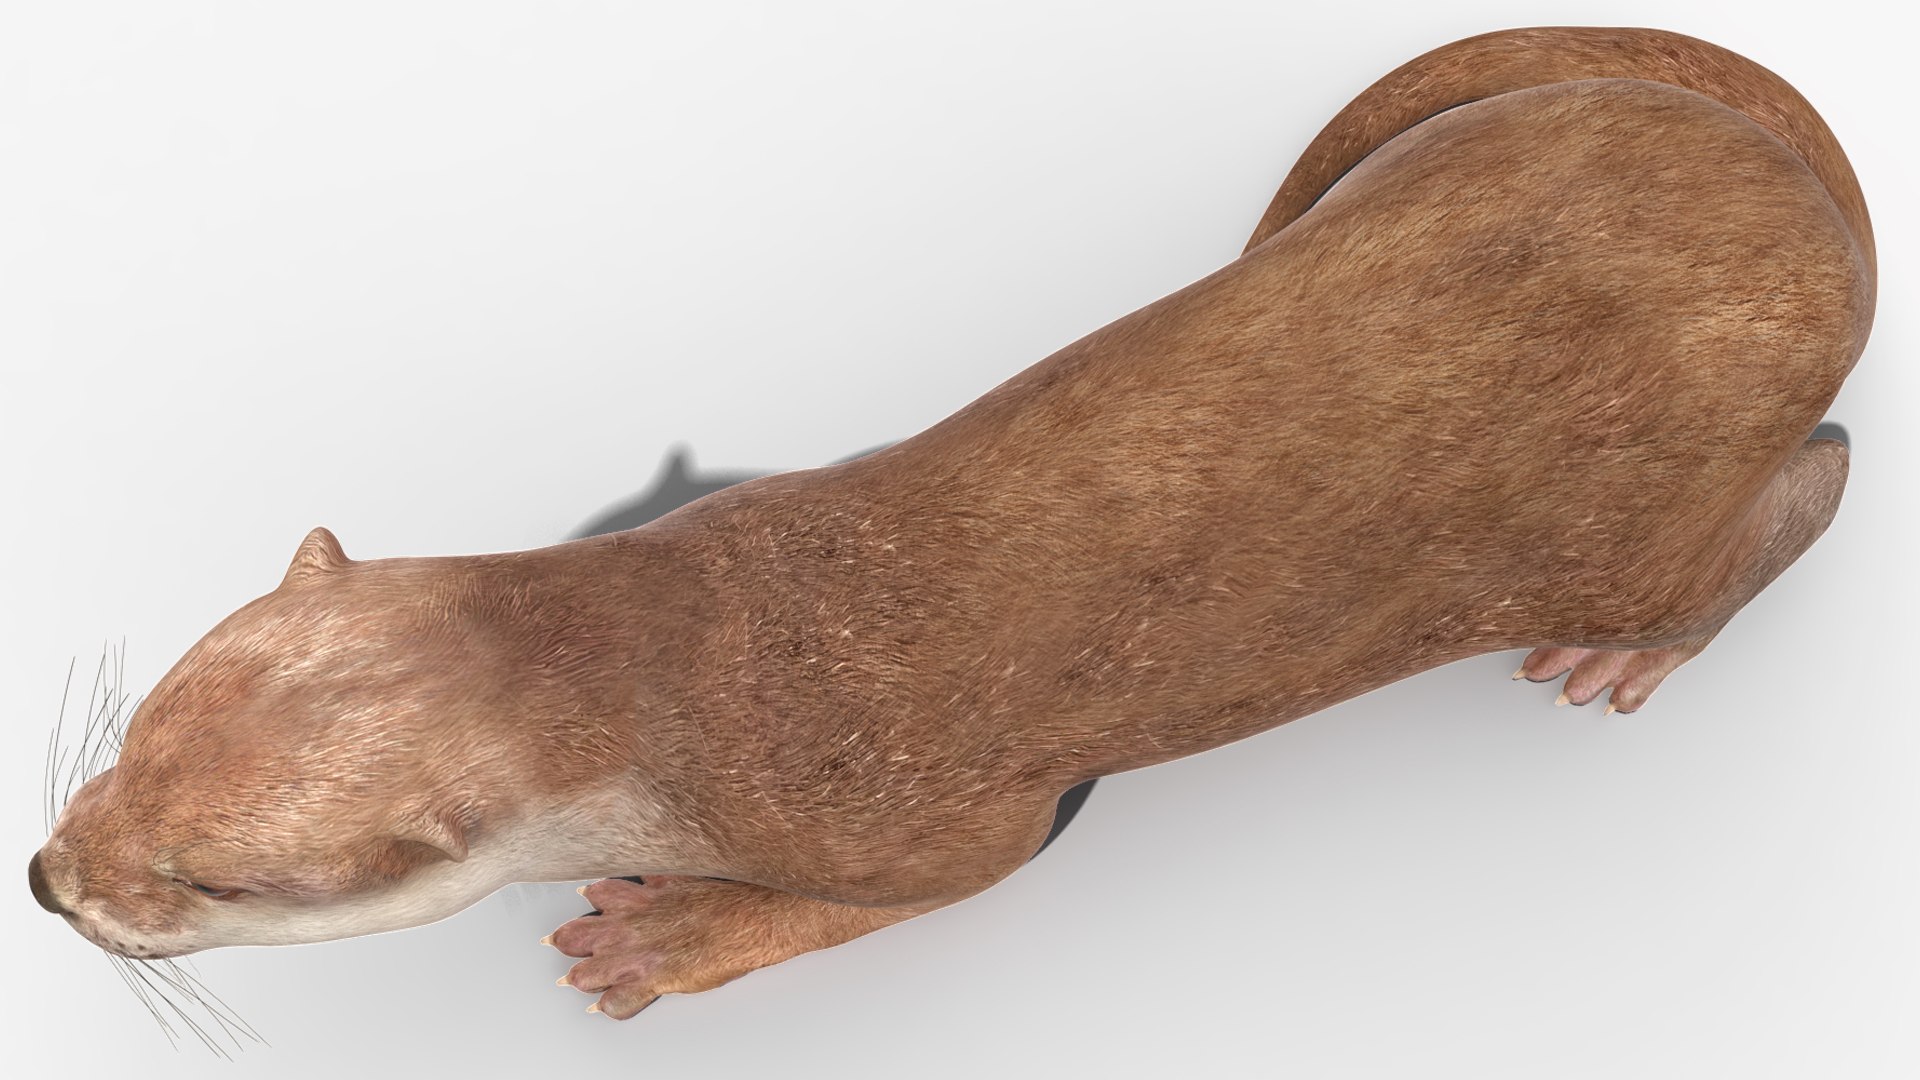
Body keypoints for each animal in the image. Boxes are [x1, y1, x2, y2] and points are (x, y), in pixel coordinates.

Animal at [29, 26, 1871, 1022]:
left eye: (216, 881)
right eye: (127, 739)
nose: (48, 882)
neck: (705, 660)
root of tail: (1803, 220)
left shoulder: (917, 811)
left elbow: (951, 880)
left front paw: (680, 931)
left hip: (1625, 532)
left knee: (1813, 486)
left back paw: (1629, 659)